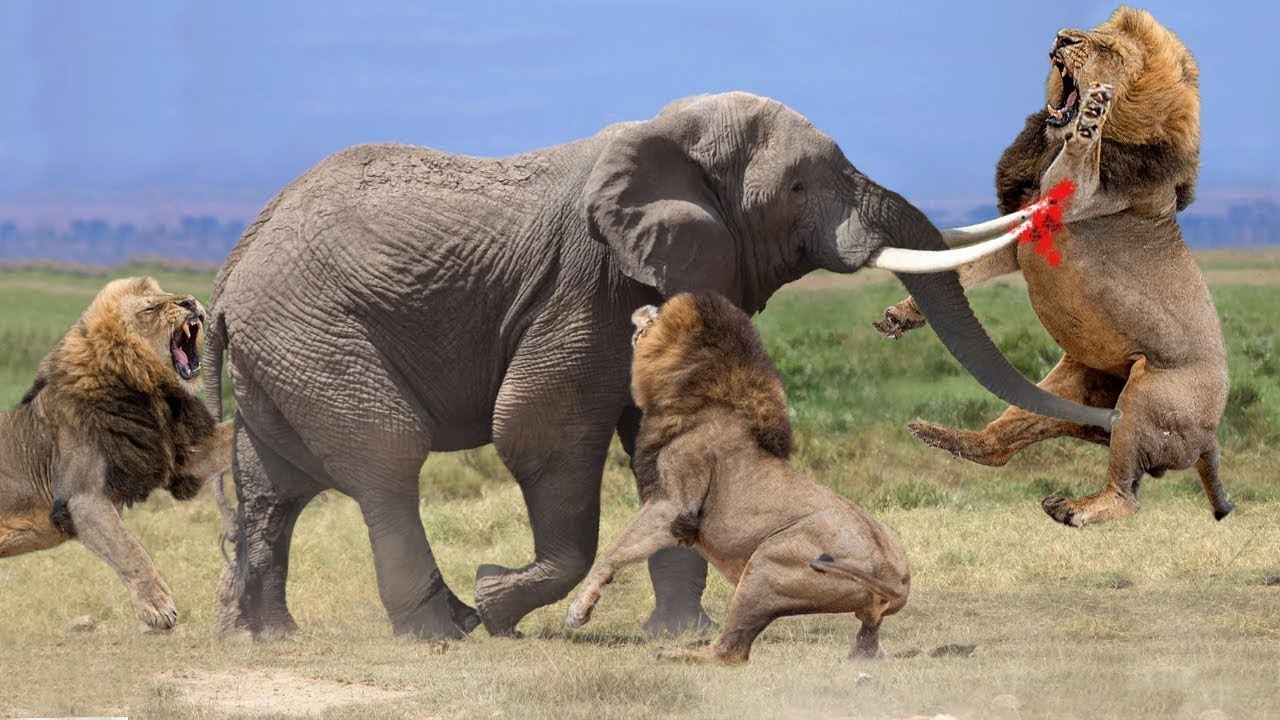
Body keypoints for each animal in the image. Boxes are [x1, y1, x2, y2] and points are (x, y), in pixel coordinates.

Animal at [0, 277, 232, 630]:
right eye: (151, 308)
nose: (191, 302)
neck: (150, 393)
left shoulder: (181, 458)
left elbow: (233, 435)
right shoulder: (82, 500)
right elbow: (129, 550)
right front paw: (157, 608)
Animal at [565, 292, 910, 663]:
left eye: (655, 320)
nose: (643, 309)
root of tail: (896, 577)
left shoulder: (672, 505)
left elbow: (613, 550)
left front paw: (578, 611)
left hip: (767, 563)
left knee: (730, 652)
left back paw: (672, 653)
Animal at [871, 7, 1232, 527]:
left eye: (1107, 49)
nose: (1063, 37)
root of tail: (1211, 440)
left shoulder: (1079, 195)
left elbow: (1081, 156)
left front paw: (1093, 115)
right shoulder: (1021, 233)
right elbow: (964, 268)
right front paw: (902, 315)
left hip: (1147, 397)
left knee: (1127, 495)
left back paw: (1077, 510)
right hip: (1073, 385)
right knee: (996, 448)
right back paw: (940, 436)